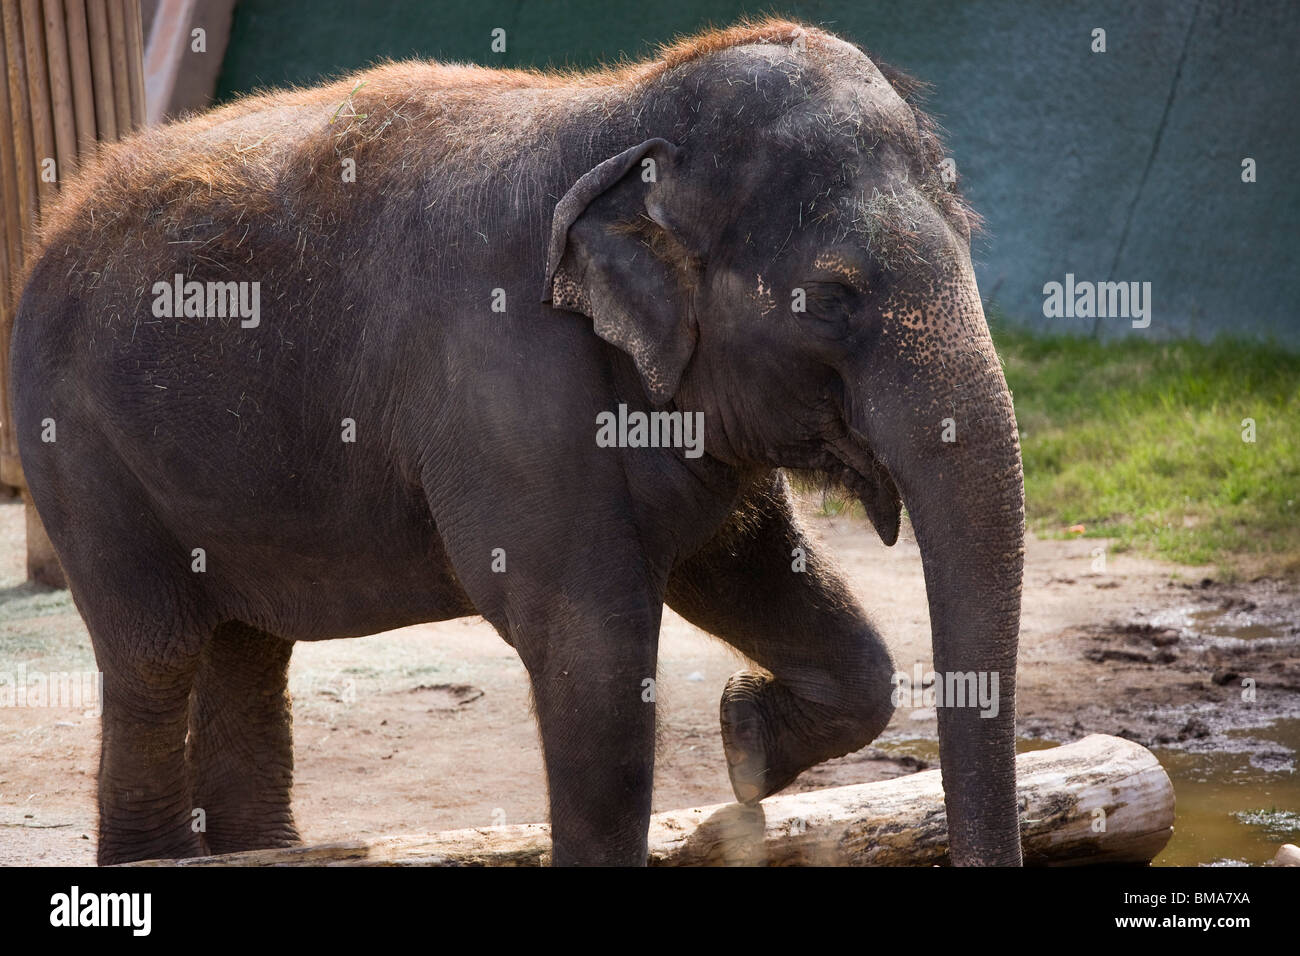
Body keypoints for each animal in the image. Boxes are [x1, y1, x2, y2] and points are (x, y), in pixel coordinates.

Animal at [10, 18, 1025, 866]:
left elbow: (755, 570)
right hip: (75, 450)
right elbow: (596, 659)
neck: (622, 112)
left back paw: (266, 849)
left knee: (250, 647)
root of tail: (58, 216)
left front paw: (743, 745)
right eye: (833, 296)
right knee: (153, 656)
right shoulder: (504, 386)